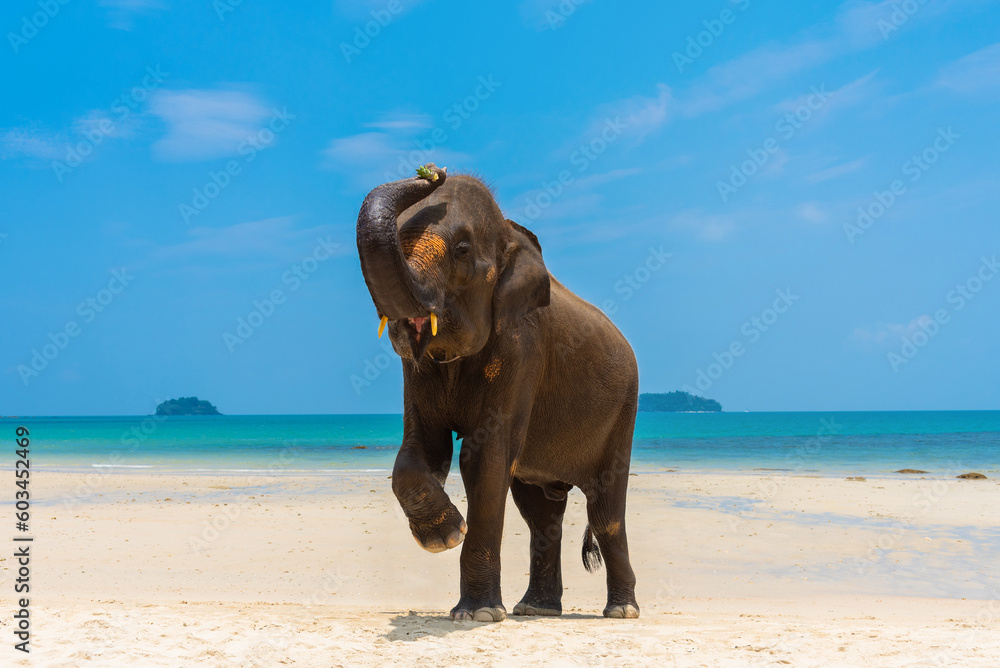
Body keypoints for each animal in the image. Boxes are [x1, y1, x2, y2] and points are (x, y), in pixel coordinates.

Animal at [355, 163, 639, 622]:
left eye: (462, 249)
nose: (433, 171)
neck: (509, 232)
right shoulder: (416, 369)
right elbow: (424, 448)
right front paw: (445, 535)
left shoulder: (522, 350)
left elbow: (484, 457)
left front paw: (477, 615)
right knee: (541, 511)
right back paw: (535, 609)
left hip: (622, 414)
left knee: (606, 511)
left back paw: (621, 612)